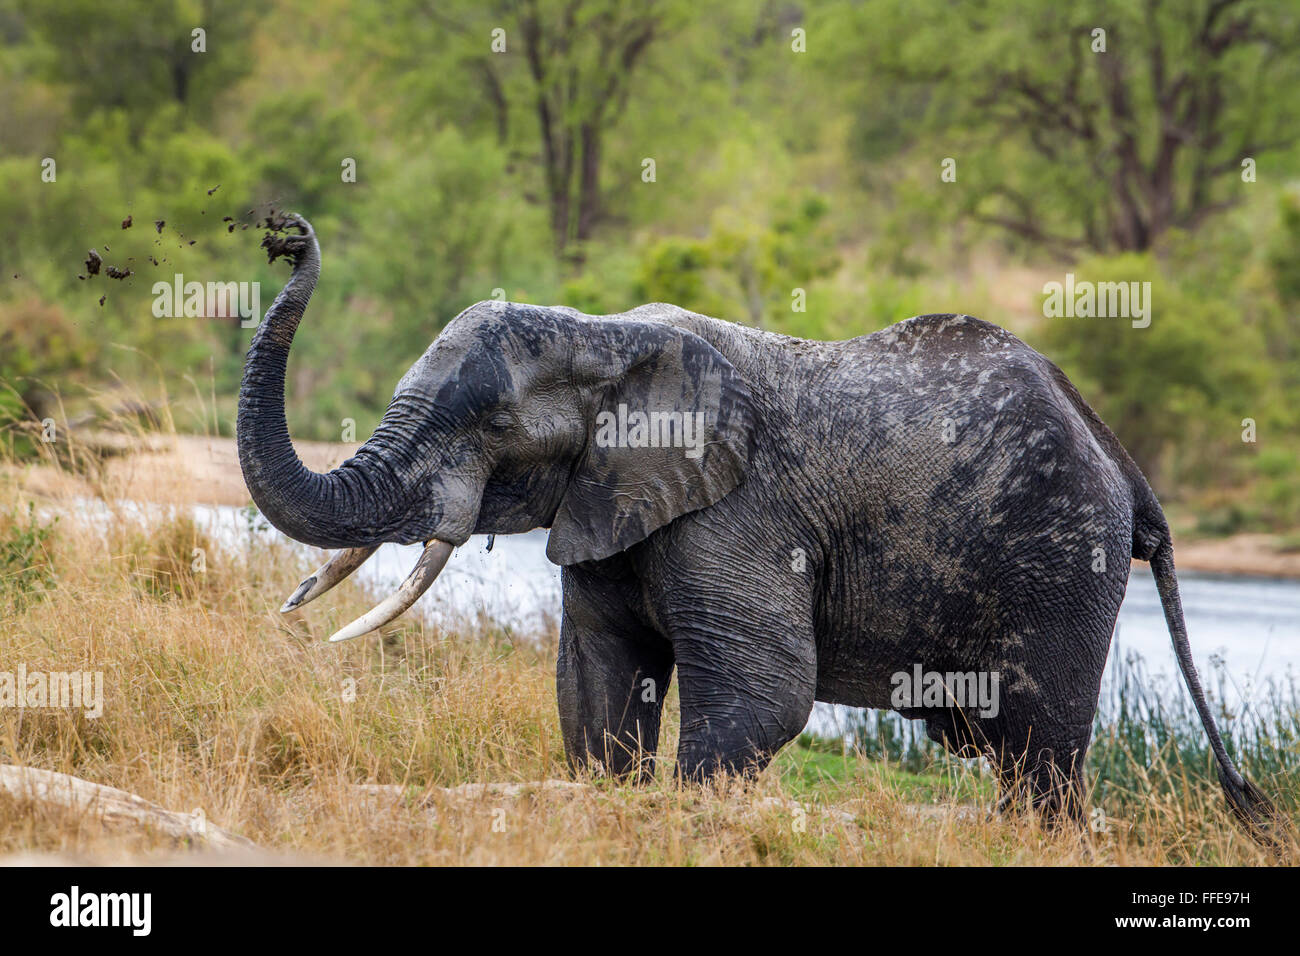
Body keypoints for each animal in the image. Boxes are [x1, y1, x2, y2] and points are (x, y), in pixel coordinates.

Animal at [237, 214, 1274, 833]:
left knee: (1040, 754)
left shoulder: (740, 514)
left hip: (1060, 561)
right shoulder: (611, 503)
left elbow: (766, 696)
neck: (603, 333)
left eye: (491, 426)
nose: (288, 235)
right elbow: (596, 685)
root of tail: (1125, 466)